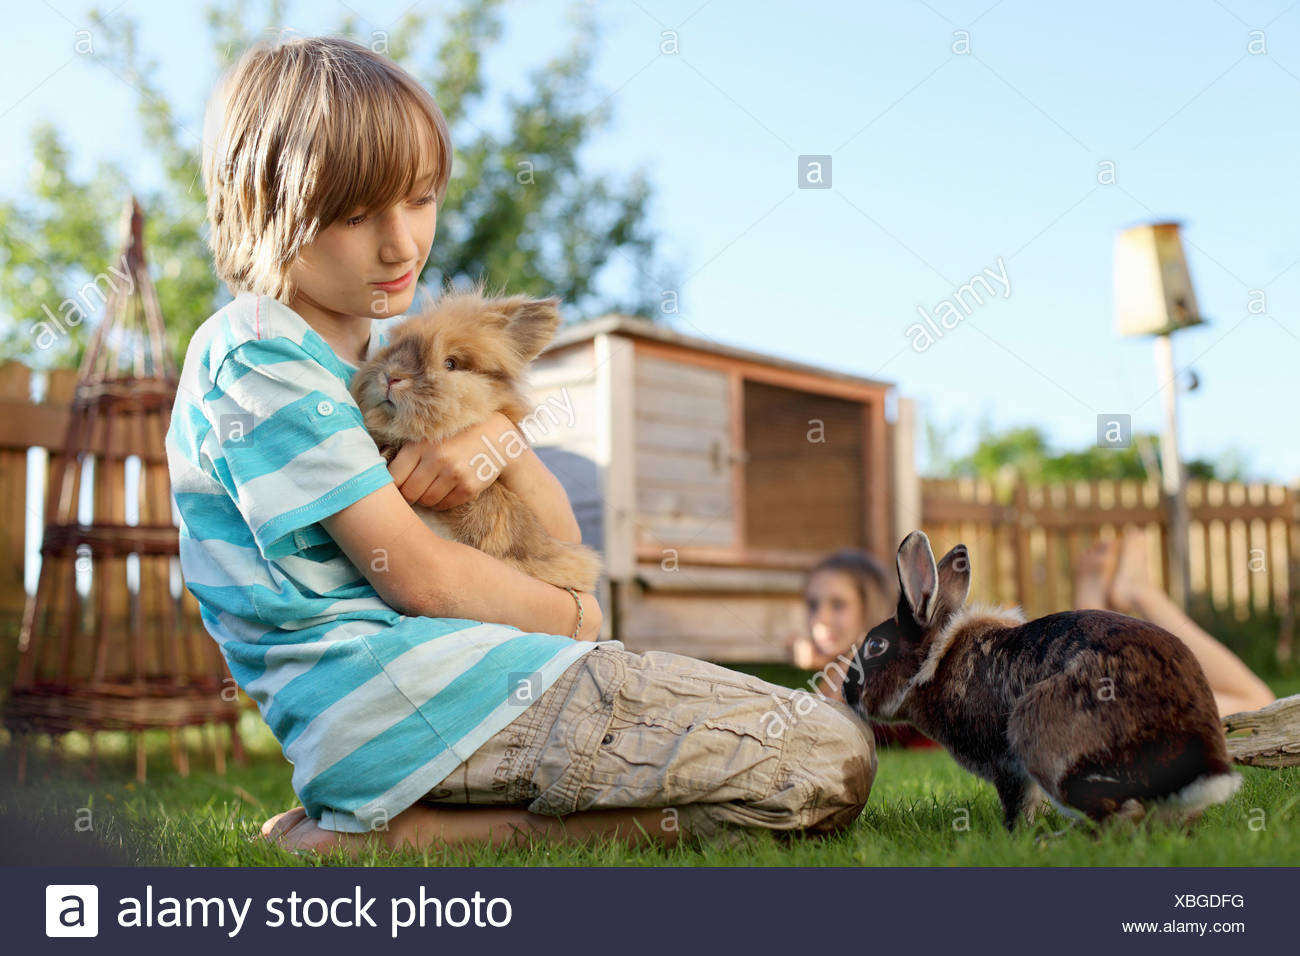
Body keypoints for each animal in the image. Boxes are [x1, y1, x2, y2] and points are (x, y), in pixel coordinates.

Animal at [841, 530, 1241, 831]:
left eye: (875, 646)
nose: (847, 691)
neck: (933, 665)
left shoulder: (1006, 763)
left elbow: (1017, 802)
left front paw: (1013, 835)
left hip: (1038, 734)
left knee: (1119, 814)